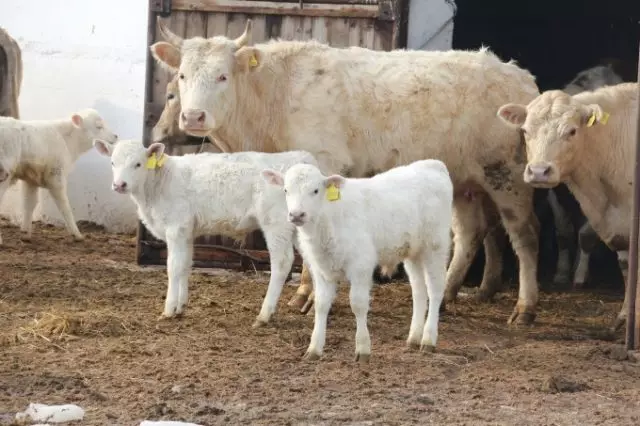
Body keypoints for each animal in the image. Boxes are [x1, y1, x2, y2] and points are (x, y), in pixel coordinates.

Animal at [150, 18, 544, 324]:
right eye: (181, 75)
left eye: (222, 76)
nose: (193, 117)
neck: (274, 98)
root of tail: (519, 74)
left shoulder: (323, 166)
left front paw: (309, 296)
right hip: (465, 183)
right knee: (469, 235)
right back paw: (444, 296)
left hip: (508, 175)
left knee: (524, 237)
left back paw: (525, 308)